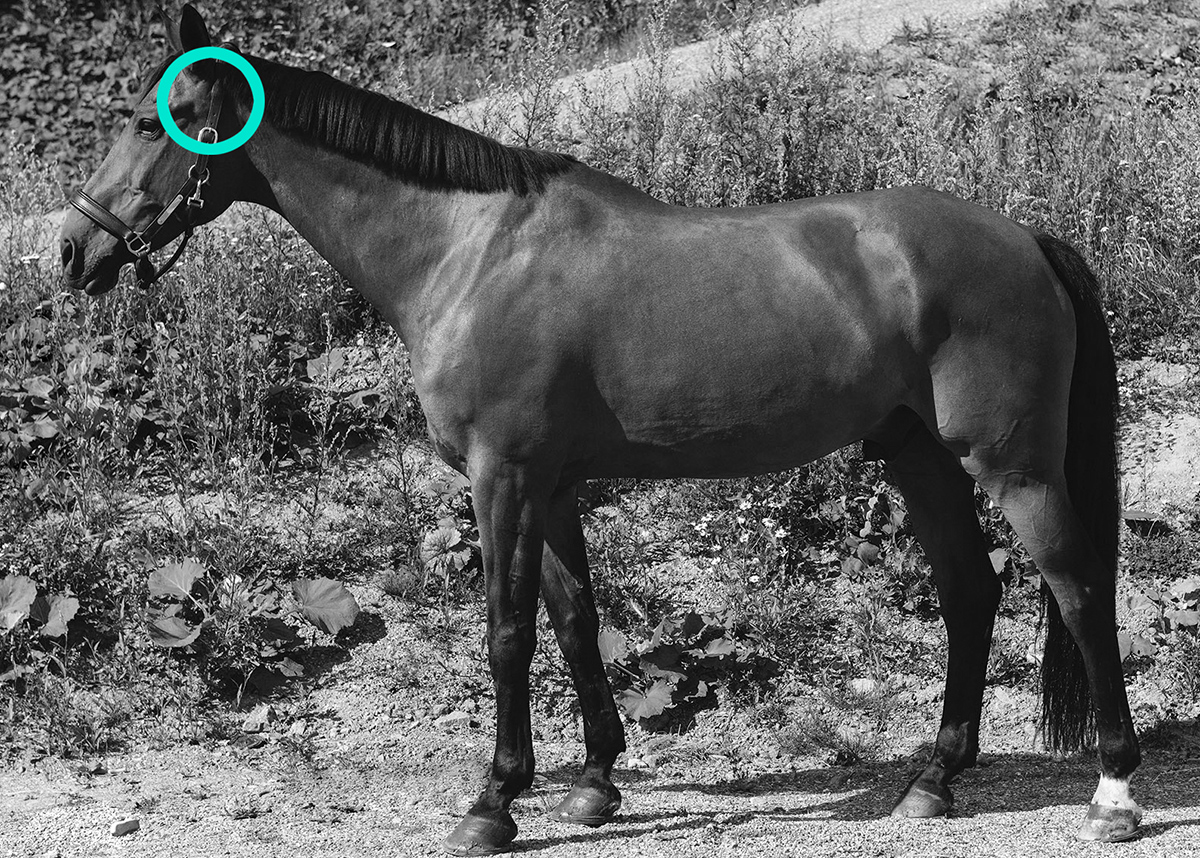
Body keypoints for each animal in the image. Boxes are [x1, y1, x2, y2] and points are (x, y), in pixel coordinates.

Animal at [60, 5, 1142, 853]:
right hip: (919, 458)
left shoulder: (501, 479)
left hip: (1013, 467)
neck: (469, 251)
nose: (74, 250)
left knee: (1081, 588)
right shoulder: (553, 483)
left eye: (160, 120)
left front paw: (493, 803)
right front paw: (592, 785)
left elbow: (506, 632)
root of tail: (1025, 238)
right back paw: (934, 780)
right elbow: (576, 620)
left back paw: (1114, 793)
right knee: (971, 595)